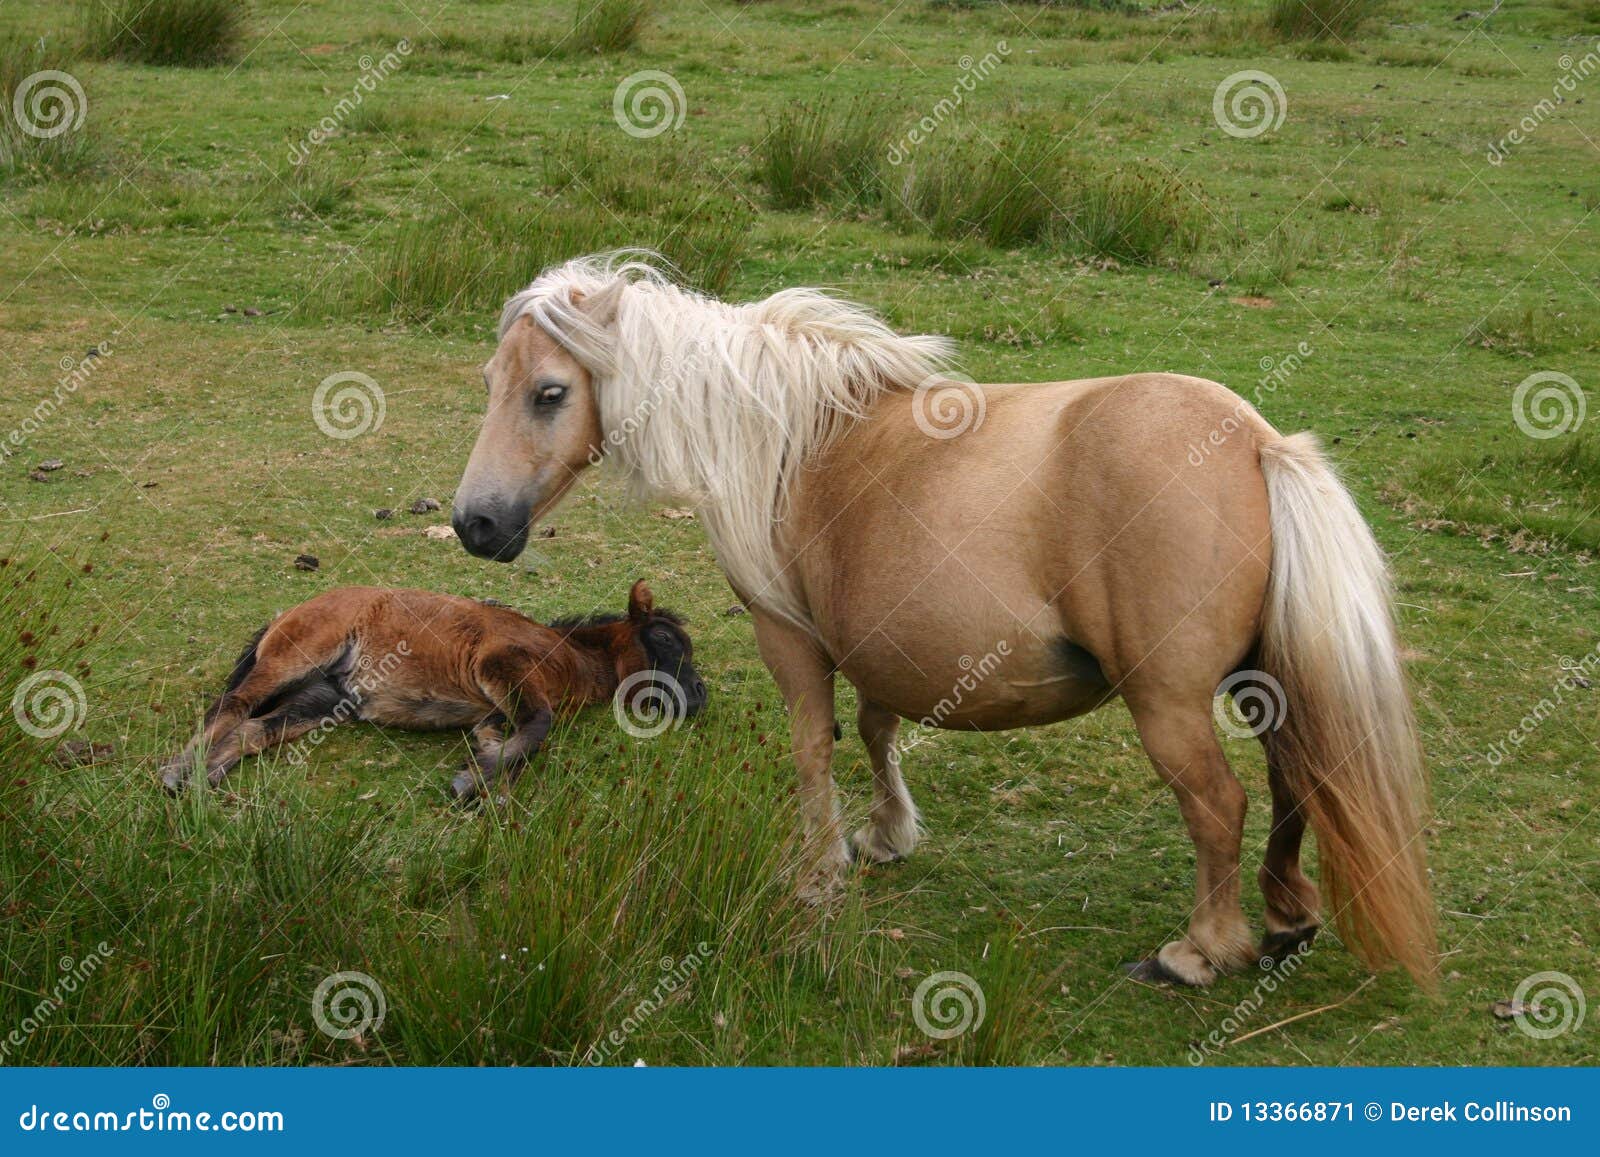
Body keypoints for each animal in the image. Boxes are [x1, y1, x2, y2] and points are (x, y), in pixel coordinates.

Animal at [160, 579, 706, 801]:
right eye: (663, 637)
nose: (699, 696)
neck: (569, 654)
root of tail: (287, 613)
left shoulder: (498, 709)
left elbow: (510, 742)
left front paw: (488, 783)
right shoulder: (502, 665)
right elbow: (538, 730)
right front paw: (471, 783)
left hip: (322, 700)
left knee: (255, 729)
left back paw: (206, 776)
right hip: (297, 656)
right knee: (233, 704)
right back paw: (179, 771)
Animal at [449, 253, 1436, 989]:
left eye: (547, 392)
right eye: (492, 381)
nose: (476, 524)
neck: (797, 439)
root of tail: (1258, 442)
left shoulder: (790, 637)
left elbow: (814, 747)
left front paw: (817, 872)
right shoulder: (880, 641)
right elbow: (878, 731)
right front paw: (886, 835)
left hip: (1171, 703)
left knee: (1219, 804)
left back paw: (1198, 951)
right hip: (1263, 684)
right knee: (1293, 782)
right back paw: (1285, 917)